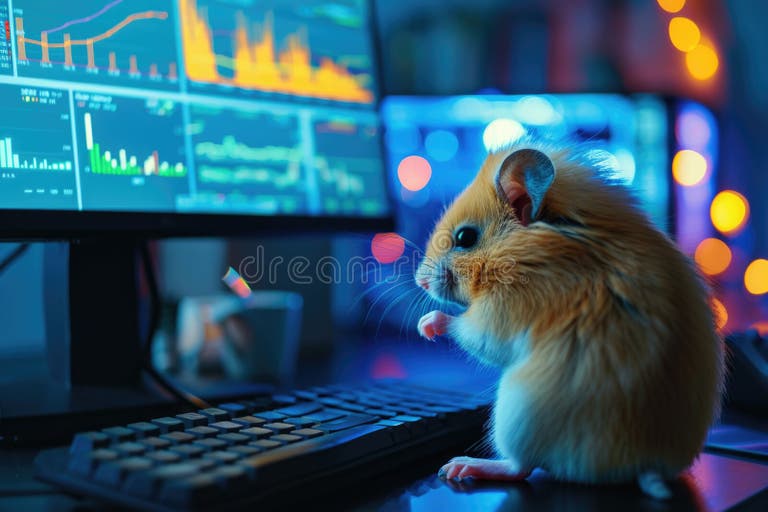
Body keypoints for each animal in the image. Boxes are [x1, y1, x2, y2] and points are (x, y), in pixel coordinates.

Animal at [415, 140, 724, 499]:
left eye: (465, 238)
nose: (420, 281)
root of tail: (644, 464)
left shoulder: (505, 310)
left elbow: (468, 330)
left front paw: (427, 325)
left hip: (515, 412)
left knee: (521, 467)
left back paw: (461, 467)